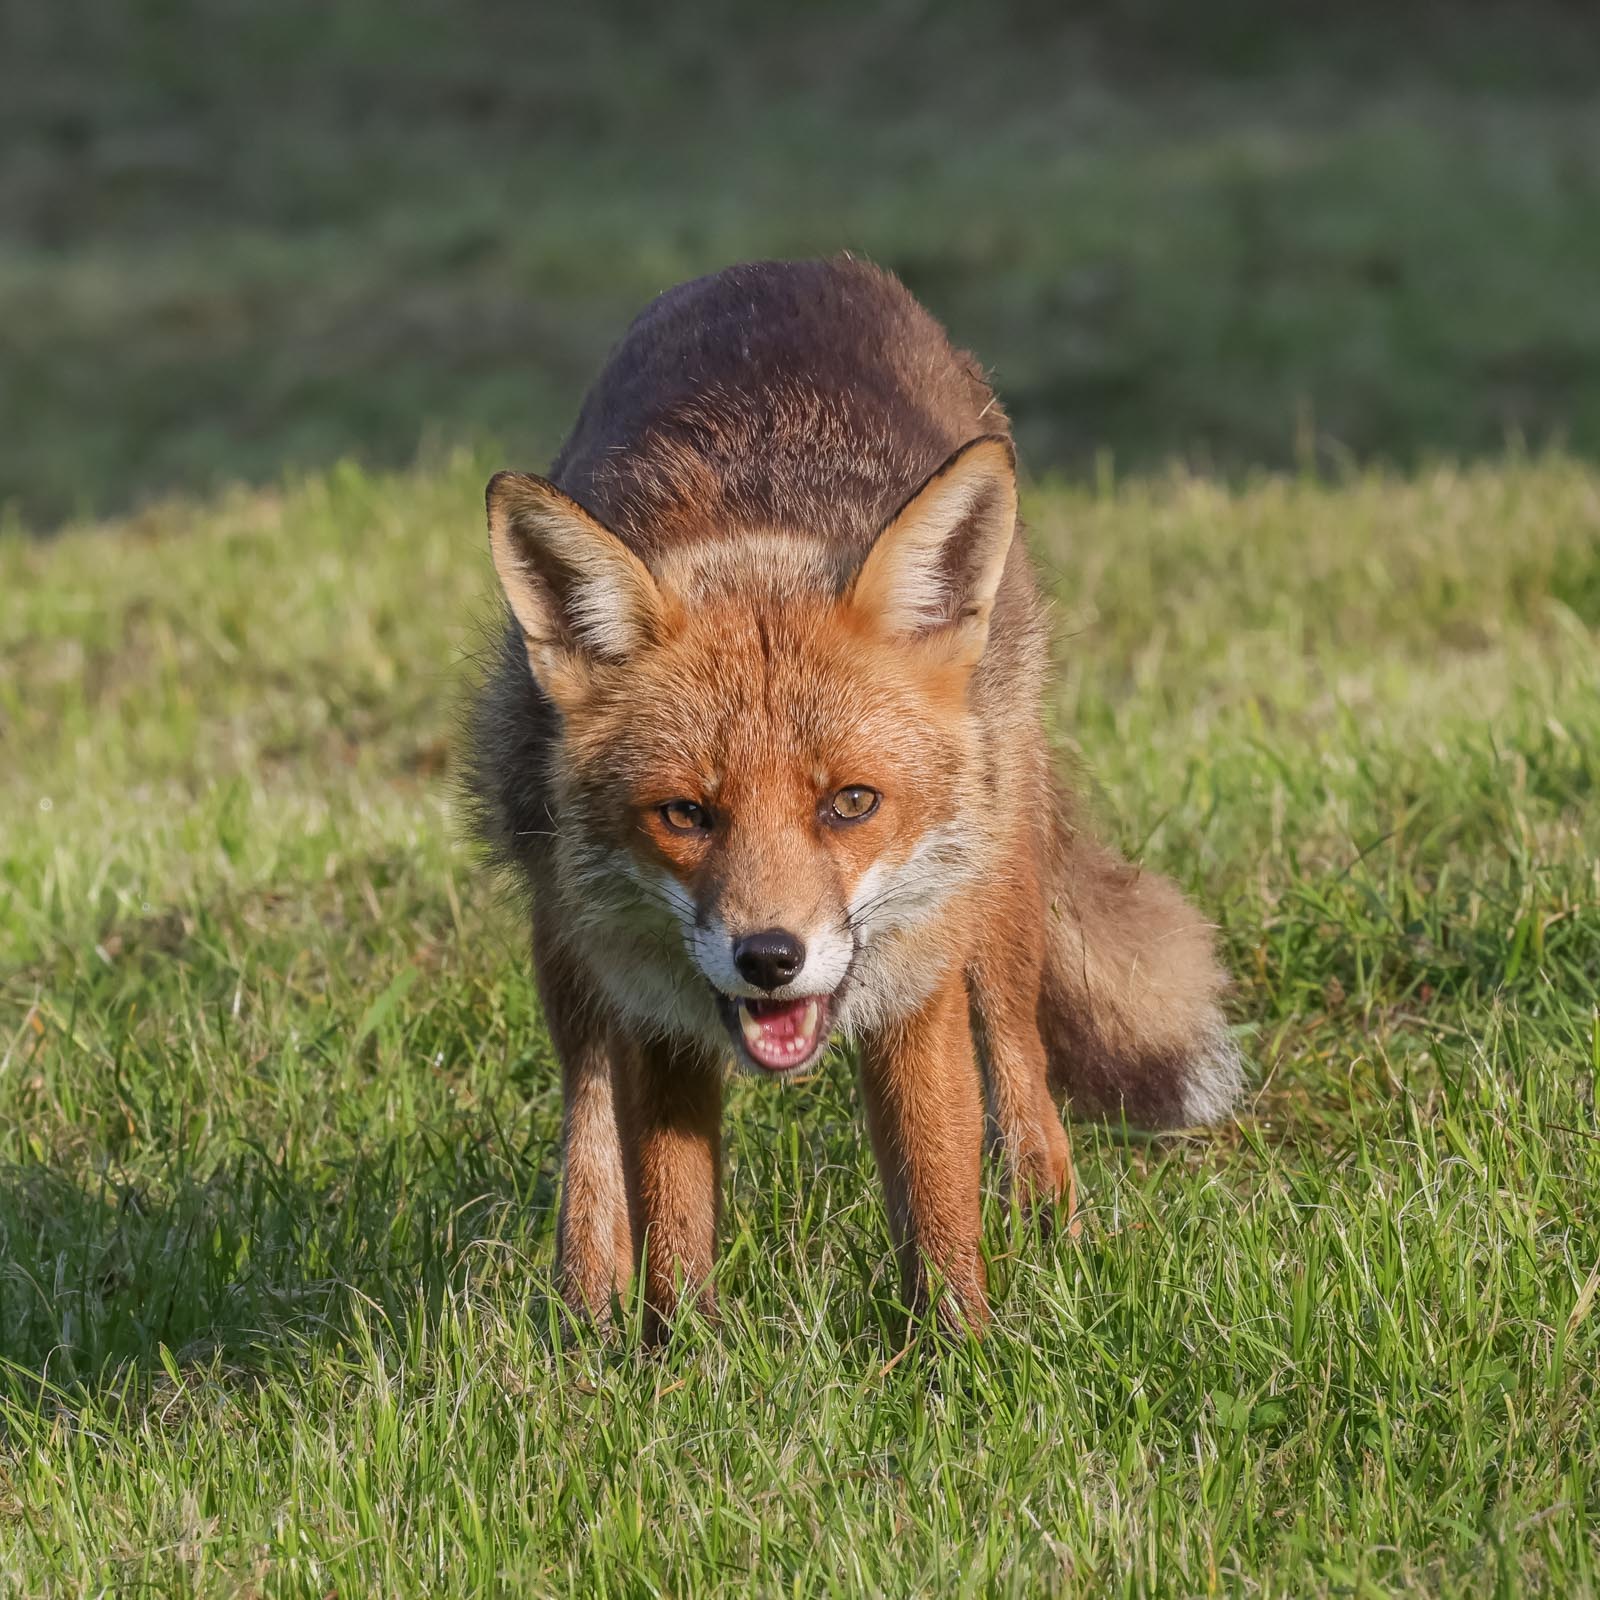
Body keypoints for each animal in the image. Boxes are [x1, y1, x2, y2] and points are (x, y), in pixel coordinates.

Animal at [469, 256, 1242, 1336]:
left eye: (850, 803)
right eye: (685, 814)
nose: (768, 958)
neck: (751, 534)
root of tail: (792, 265)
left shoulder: (919, 974)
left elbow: (936, 1189)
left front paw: (961, 1352)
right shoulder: (653, 1011)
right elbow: (672, 1219)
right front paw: (675, 1360)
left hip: (999, 891)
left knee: (1022, 1065)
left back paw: (1054, 1226)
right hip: (564, 937)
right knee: (585, 1115)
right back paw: (585, 1299)